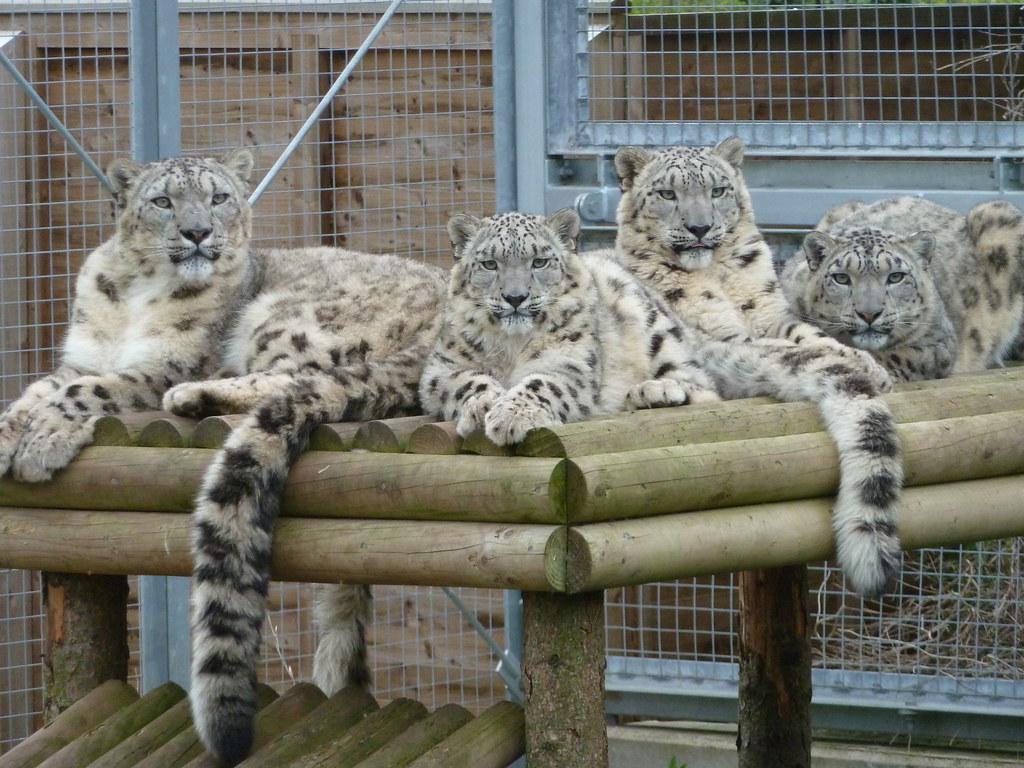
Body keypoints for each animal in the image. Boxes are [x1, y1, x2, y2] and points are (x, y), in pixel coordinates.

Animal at [609, 137, 905, 599]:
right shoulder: (723, 337)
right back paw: (654, 394)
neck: (719, 279)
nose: (700, 228)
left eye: (717, 190)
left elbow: (803, 335)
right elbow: (770, 347)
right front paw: (860, 365)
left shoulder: (770, 313)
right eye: (667, 194)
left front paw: (867, 363)